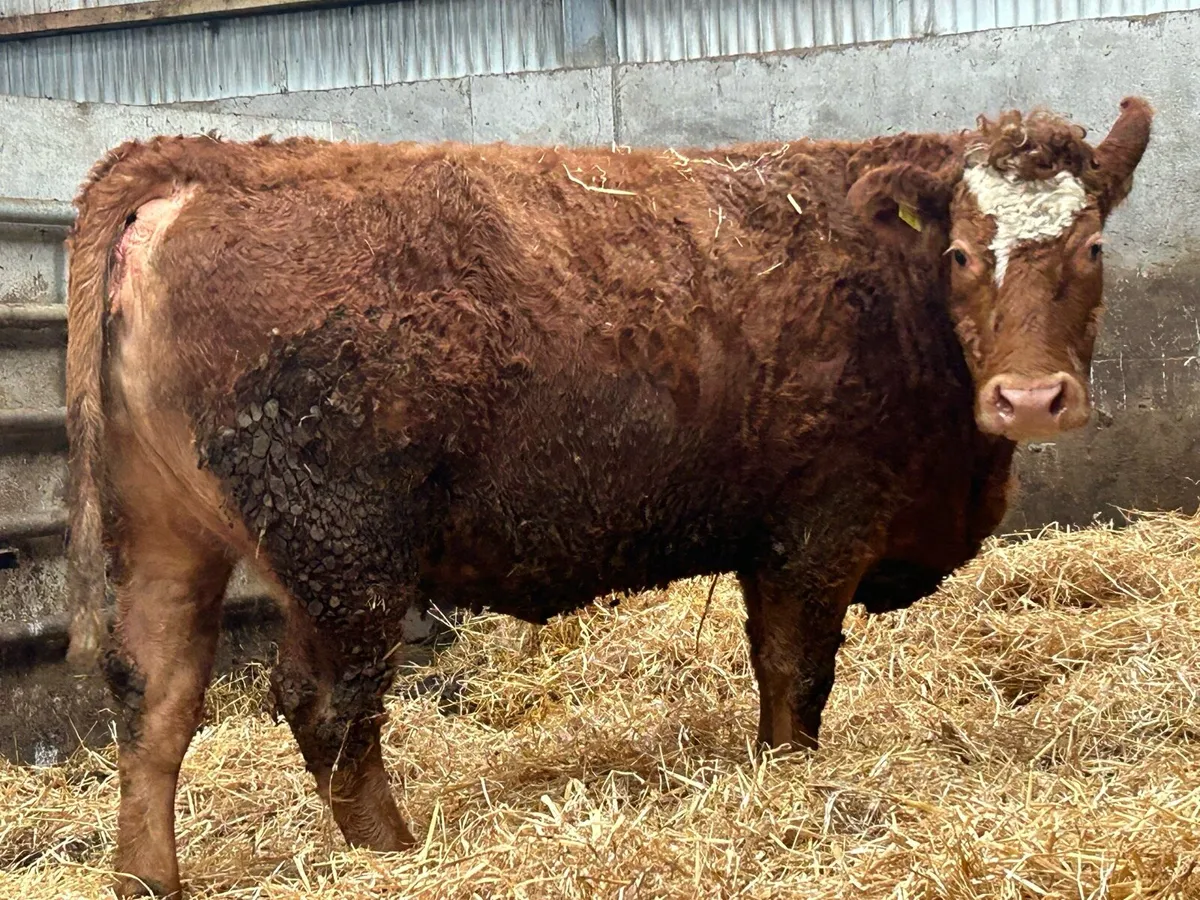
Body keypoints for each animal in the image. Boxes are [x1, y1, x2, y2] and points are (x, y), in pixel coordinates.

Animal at [62, 98, 1151, 897]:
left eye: (1093, 248)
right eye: (963, 255)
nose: (1031, 398)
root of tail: (201, 161)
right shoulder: (817, 527)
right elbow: (794, 680)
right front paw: (790, 791)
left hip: (165, 538)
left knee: (155, 696)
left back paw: (150, 879)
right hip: (344, 549)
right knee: (325, 706)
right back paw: (399, 857)